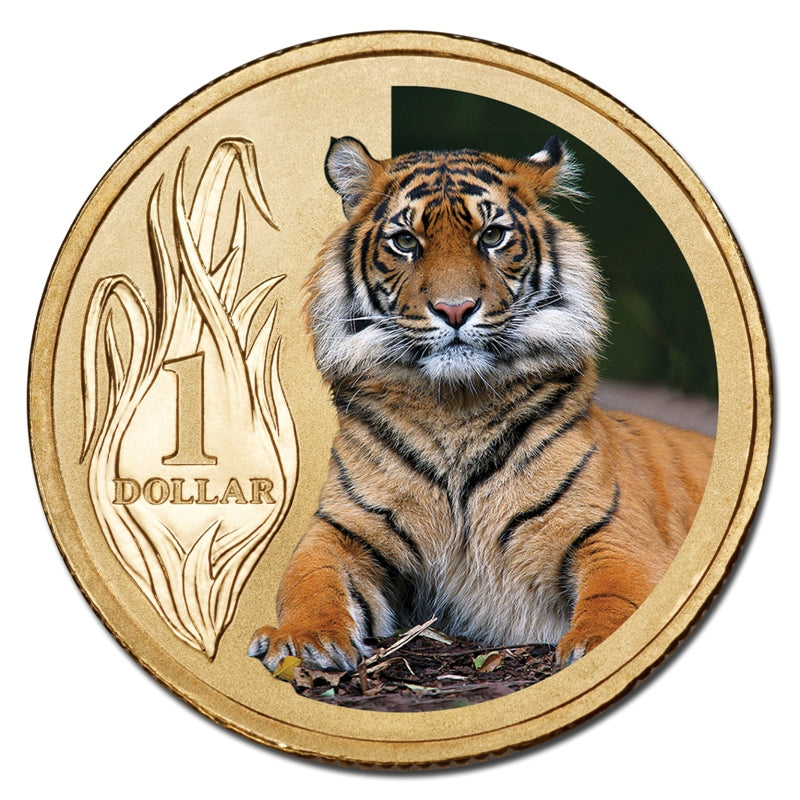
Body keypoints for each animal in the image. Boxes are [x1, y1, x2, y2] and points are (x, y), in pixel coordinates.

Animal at [248, 134, 715, 673]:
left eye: (492, 236)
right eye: (405, 242)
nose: (455, 309)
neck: (456, 408)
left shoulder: (611, 529)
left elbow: (619, 597)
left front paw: (602, 645)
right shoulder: (342, 528)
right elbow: (309, 580)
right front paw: (302, 639)